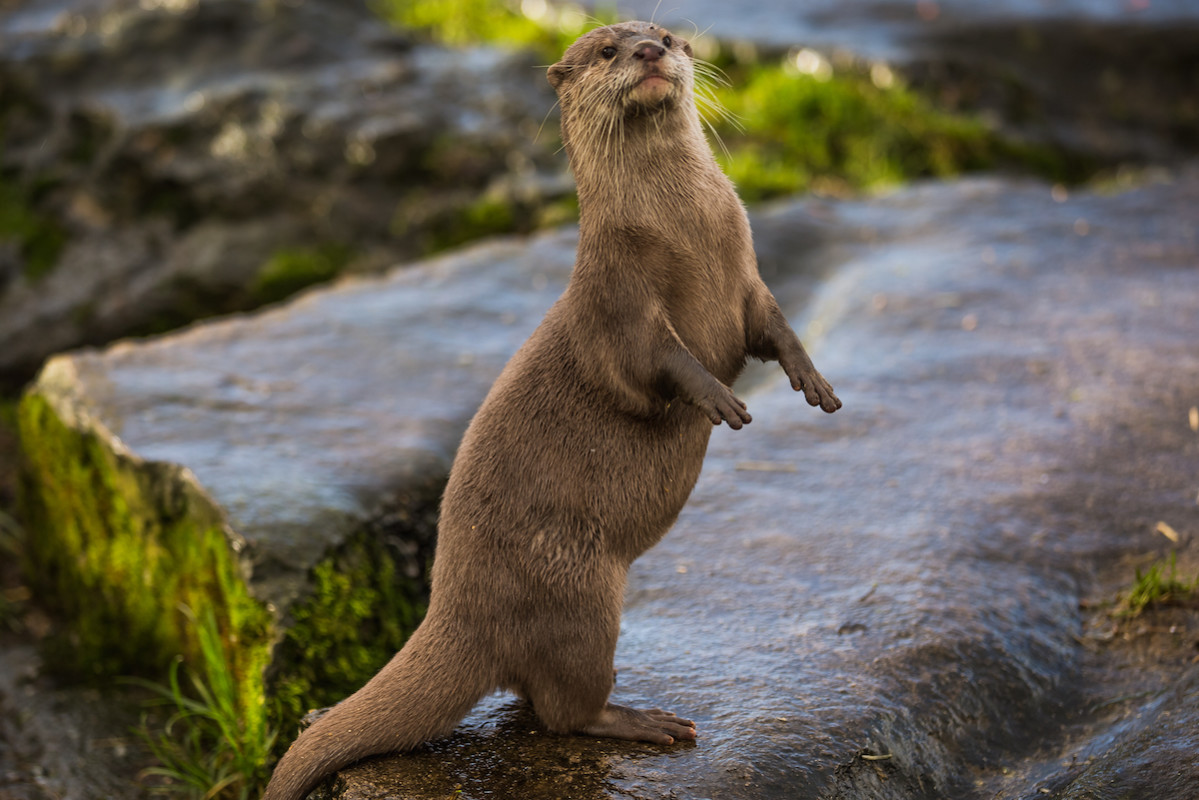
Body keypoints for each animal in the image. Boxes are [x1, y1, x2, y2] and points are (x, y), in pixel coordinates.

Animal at [263, 21, 840, 800]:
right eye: (606, 51)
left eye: (666, 35)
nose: (650, 51)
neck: (686, 231)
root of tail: (454, 612)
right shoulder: (616, 291)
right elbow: (653, 360)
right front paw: (719, 397)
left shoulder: (746, 268)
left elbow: (771, 325)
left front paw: (812, 380)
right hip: (582, 598)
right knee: (563, 708)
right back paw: (643, 721)